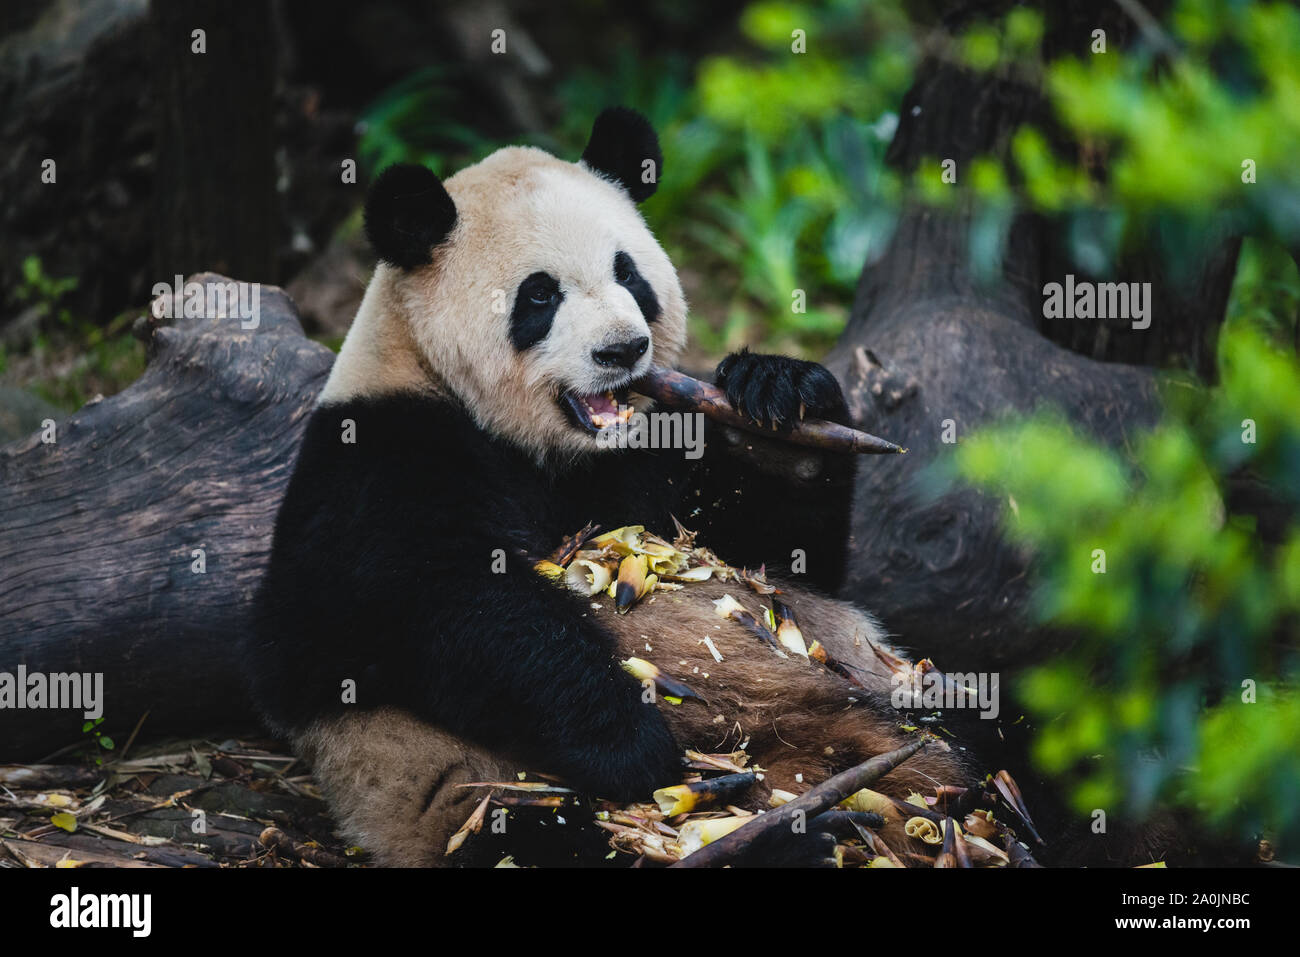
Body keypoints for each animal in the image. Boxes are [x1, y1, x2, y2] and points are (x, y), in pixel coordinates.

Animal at [245, 108, 975, 866]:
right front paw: (631, 741)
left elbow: (780, 555)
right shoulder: (375, 459)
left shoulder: (647, 457)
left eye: (628, 272)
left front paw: (780, 400)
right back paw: (775, 840)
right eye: (540, 295)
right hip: (463, 792)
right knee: (548, 836)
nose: (622, 349)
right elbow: (422, 600)